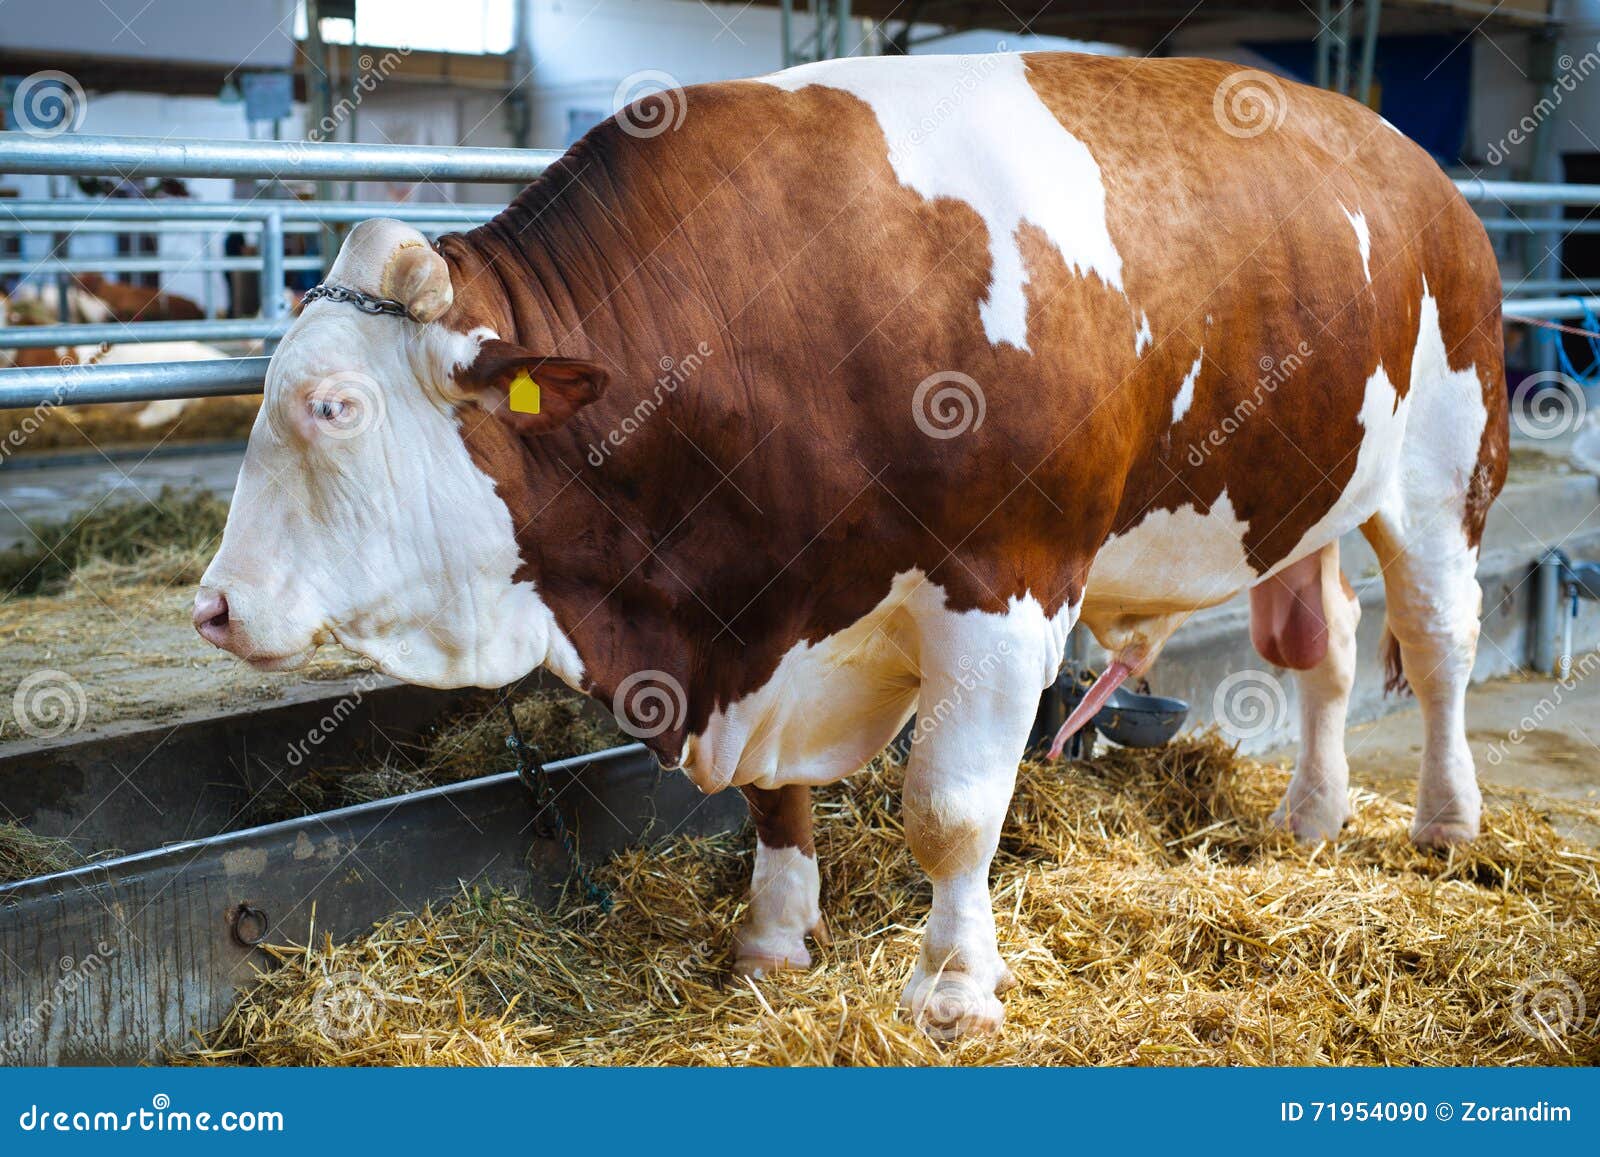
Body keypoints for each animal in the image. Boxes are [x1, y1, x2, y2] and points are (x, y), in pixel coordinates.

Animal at [193, 52, 1508, 1039]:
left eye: (333, 408)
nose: (213, 606)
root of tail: (1414, 165)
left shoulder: (1002, 586)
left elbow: (951, 808)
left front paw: (954, 988)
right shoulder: (764, 613)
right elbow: (775, 800)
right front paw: (772, 939)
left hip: (1445, 469)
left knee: (1439, 639)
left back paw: (1445, 824)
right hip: (1303, 489)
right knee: (1325, 643)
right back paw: (1311, 815)